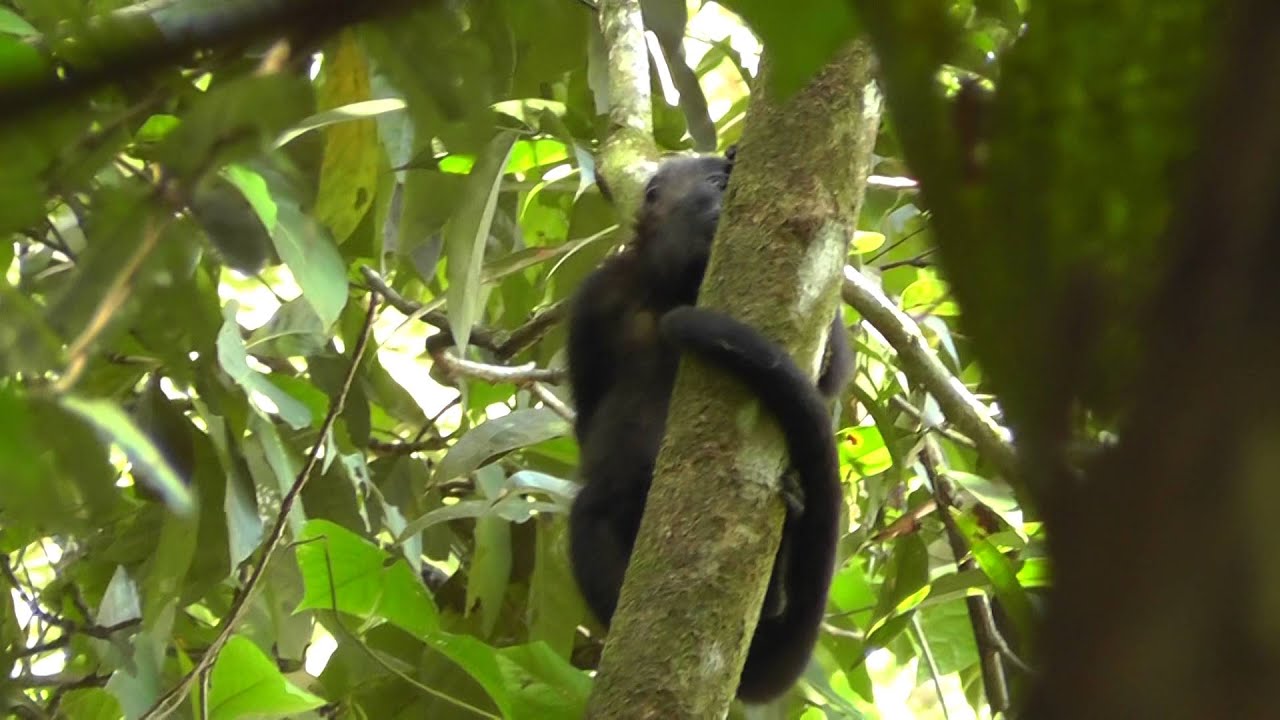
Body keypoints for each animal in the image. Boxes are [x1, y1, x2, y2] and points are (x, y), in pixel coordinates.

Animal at [566, 149, 852, 703]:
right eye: (719, 185)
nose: (726, 202)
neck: (672, 285)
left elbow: (834, 372)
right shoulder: (594, 298)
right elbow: (587, 416)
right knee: (591, 510)